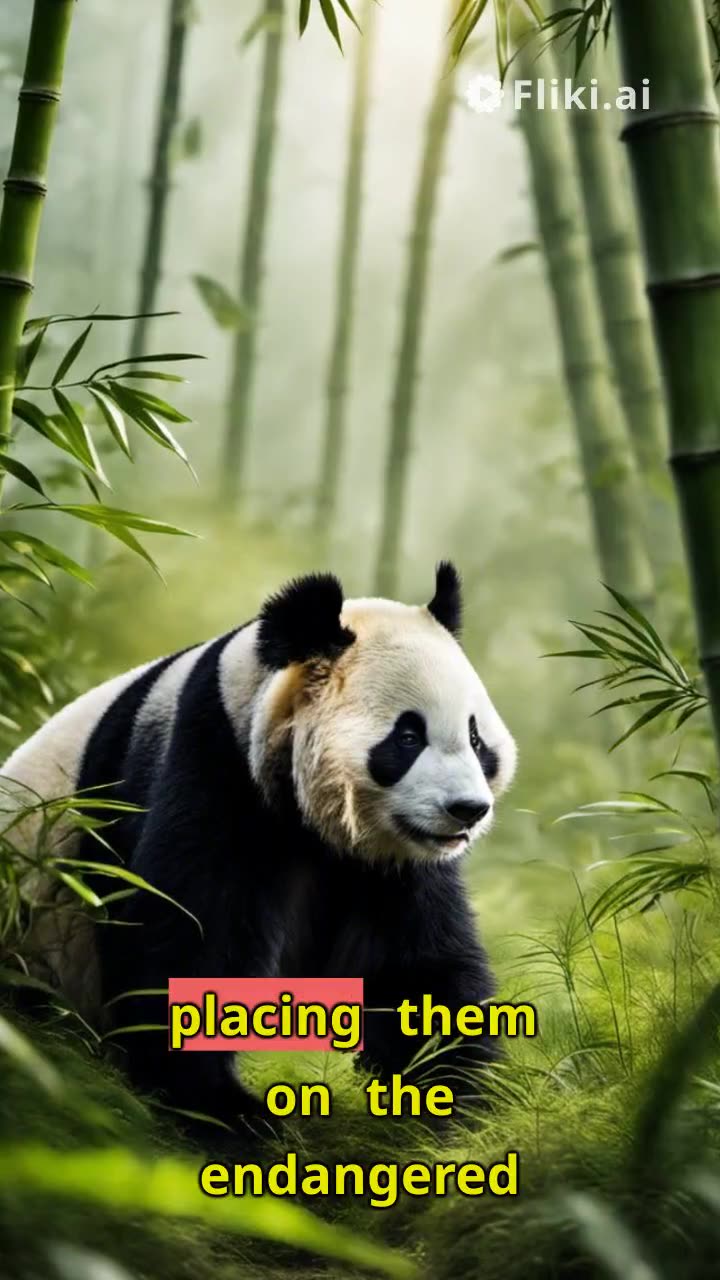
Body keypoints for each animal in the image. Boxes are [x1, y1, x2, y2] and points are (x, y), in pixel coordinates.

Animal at [2, 563, 516, 1130]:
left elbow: (415, 964)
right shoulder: (214, 763)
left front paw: (453, 1093)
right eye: (407, 737)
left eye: (476, 739)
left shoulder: (390, 859)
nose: (467, 809)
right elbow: (191, 938)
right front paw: (219, 1109)